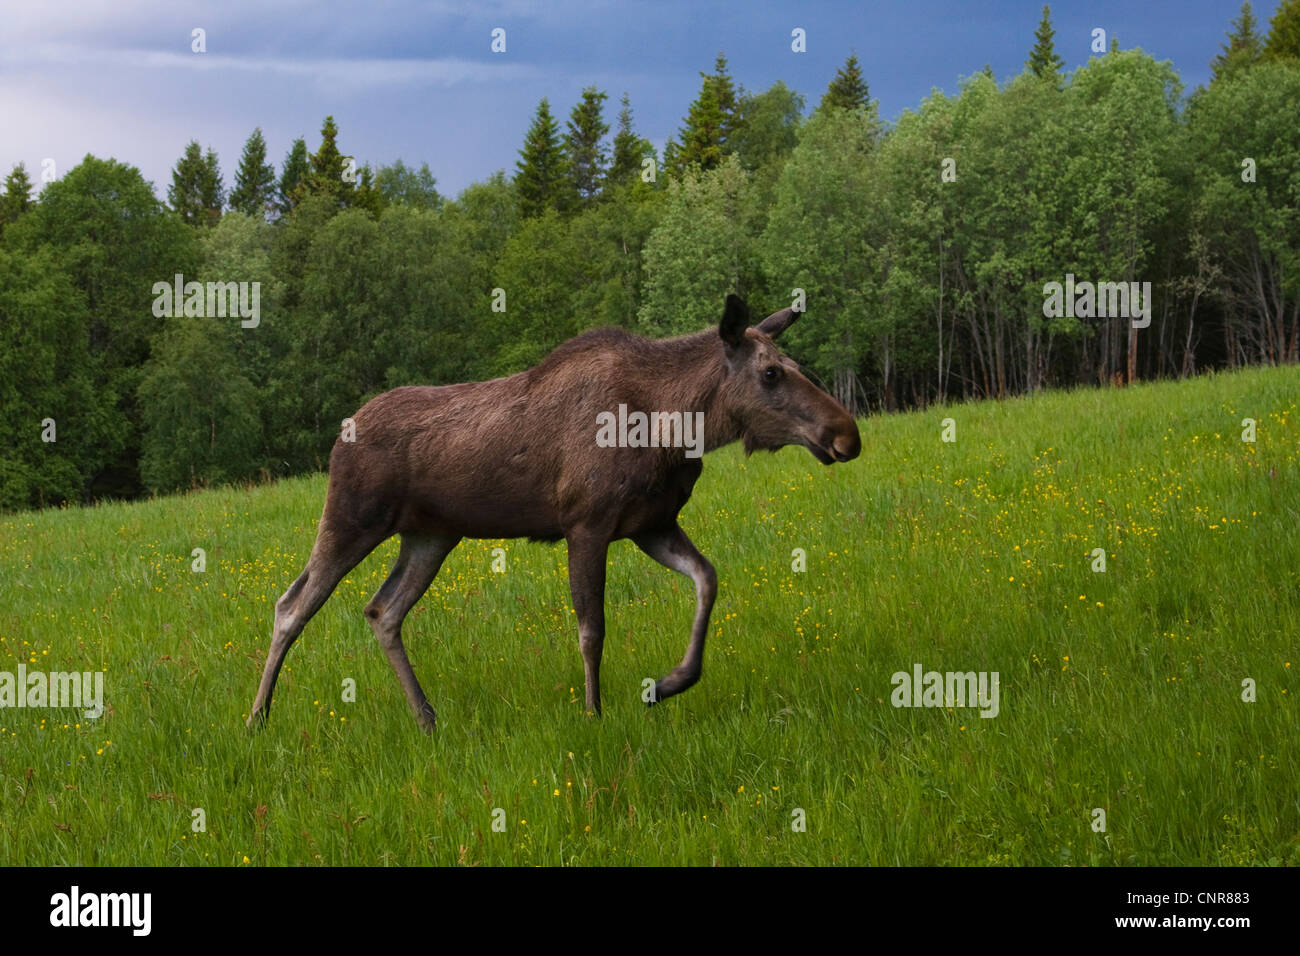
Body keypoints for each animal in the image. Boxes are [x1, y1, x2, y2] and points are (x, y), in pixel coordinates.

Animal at [247, 294, 861, 732]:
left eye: (793, 363)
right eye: (771, 373)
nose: (846, 434)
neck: (673, 428)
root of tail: (340, 433)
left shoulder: (651, 525)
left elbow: (708, 578)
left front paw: (668, 683)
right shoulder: (586, 523)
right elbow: (592, 627)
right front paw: (594, 712)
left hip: (430, 536)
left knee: (382, 610)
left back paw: (426, 718)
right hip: (352, 517)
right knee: (291, 604)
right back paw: (257, 718)